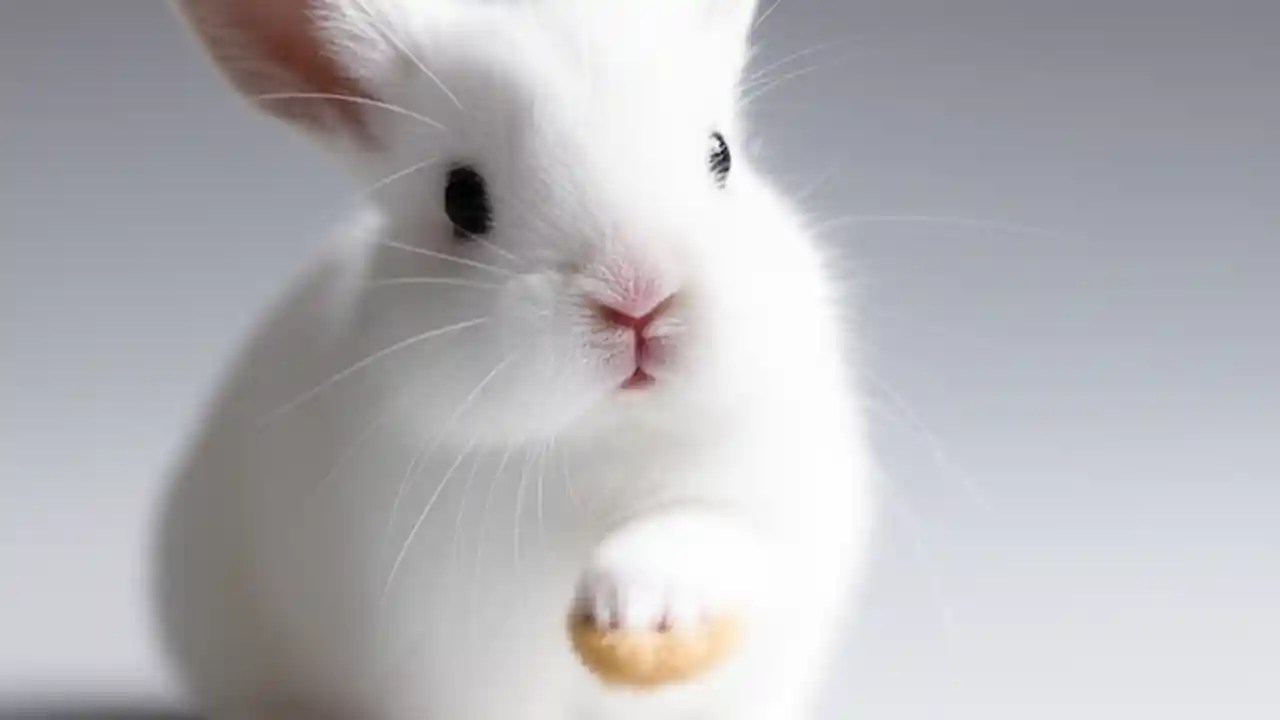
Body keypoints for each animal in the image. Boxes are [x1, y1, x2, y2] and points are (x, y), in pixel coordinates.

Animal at [157, 1, 876, 718]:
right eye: (462, 198)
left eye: (719, 155)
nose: (638, 298)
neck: (601, 435)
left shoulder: (764, 497)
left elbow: (700, 529)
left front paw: (641, 606)